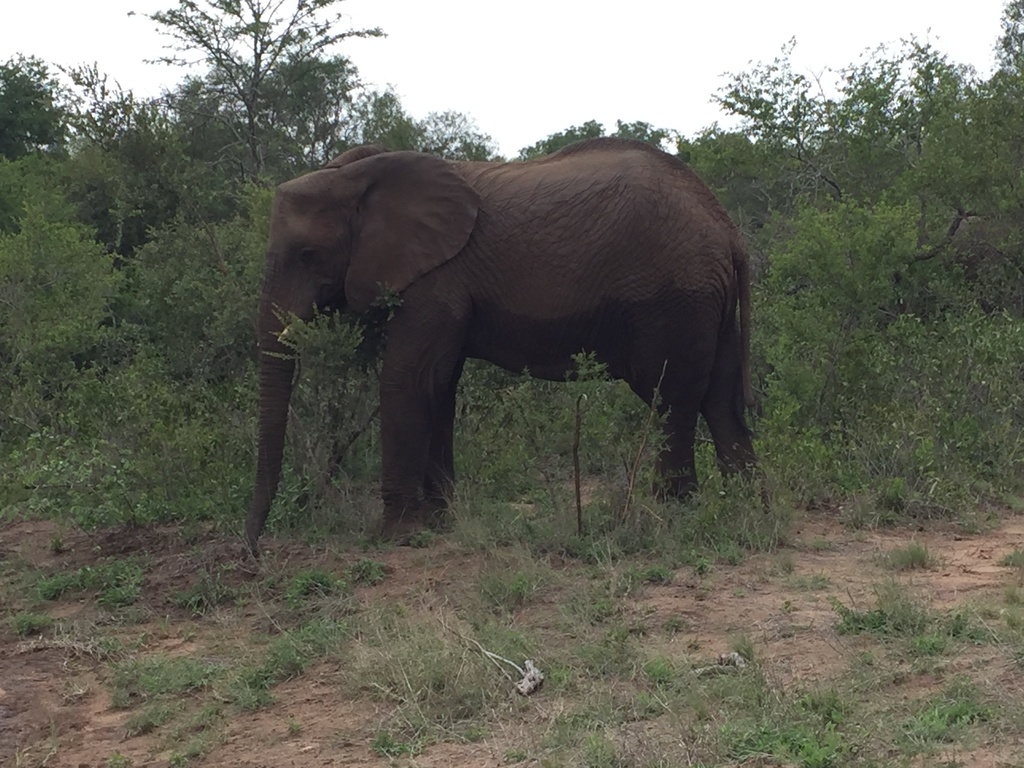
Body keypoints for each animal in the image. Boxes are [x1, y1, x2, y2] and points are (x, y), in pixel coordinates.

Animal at [244, 137, 756, 553]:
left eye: (308, 255)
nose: (252, 549)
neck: (357, 174)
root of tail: (729, 231)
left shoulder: (437, 279)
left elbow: (406, 380)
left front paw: (395, 536)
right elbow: (439, 386)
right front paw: (441, 522)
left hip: (675, 297)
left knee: (672, 396)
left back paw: (670, 512)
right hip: (708, 300)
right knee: (721, 398)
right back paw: (745, 507)